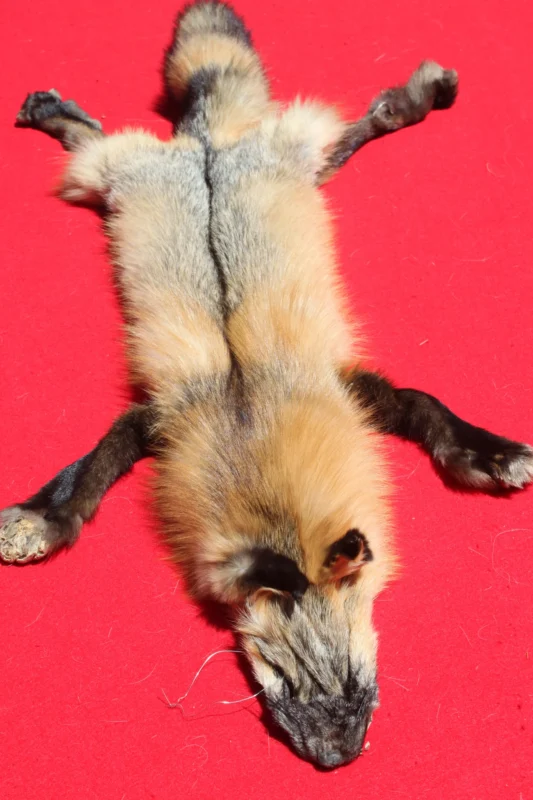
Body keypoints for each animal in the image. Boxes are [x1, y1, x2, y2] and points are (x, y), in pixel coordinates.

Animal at [2, 0, 532, 769]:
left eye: (354, 679)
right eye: (282, 677)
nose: (338, 757)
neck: (248, 404)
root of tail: (209, 145)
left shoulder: (350, 386)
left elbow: (428, 408)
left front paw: (489, 453)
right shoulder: (160, 414)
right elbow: (88, 472)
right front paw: (42, 518)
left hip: (297, 156)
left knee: (361, 124)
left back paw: (420, 95)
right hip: (118, 174)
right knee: (98, 138)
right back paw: (52, 112)